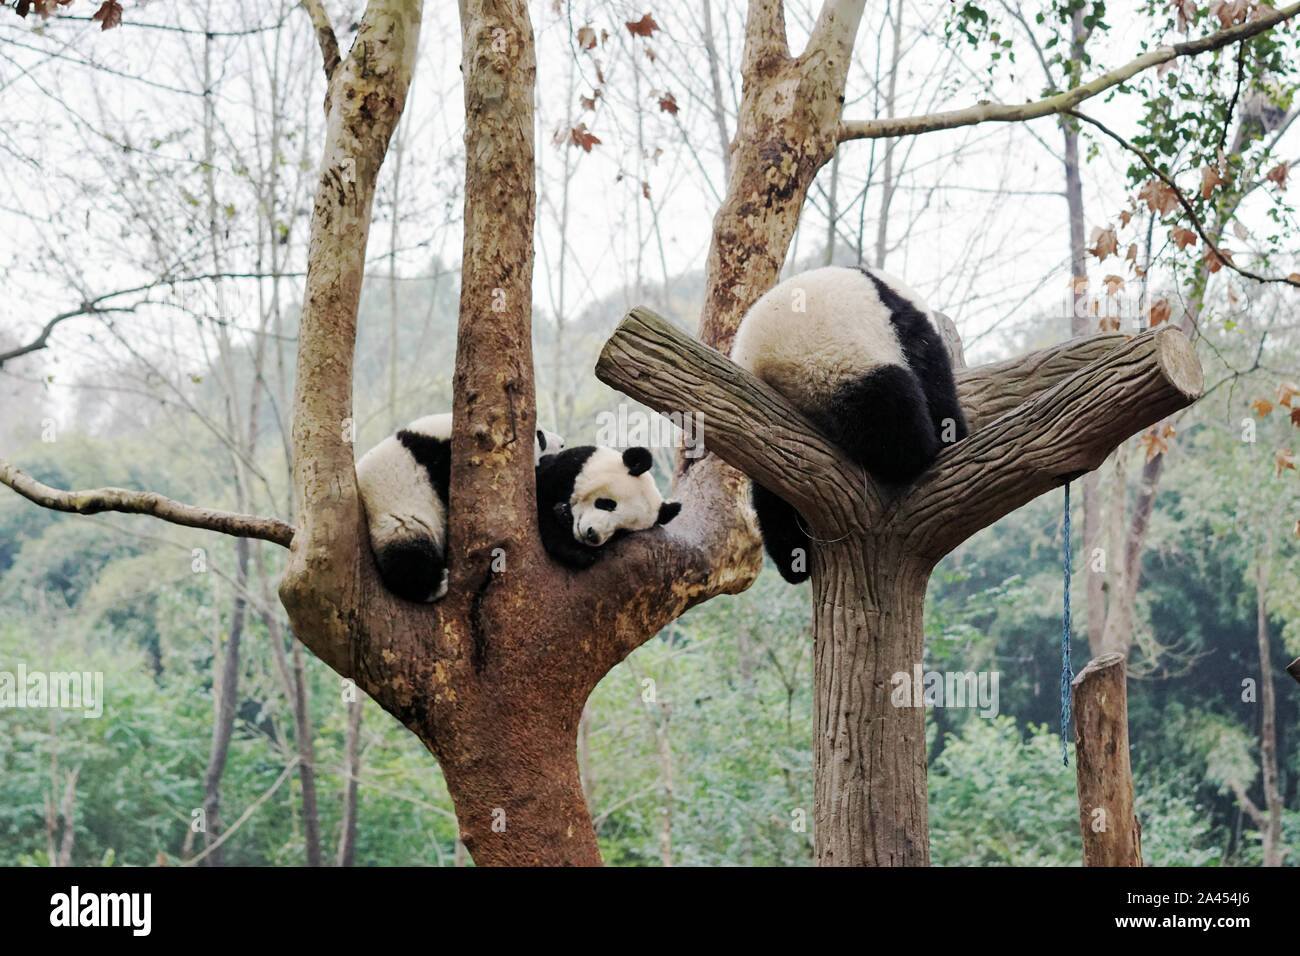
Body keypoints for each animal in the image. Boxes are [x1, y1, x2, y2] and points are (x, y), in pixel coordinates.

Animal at [356, 413, 564, 602]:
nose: (562, 443)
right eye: (540, 436)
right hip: (395, 520)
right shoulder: (445, 464)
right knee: (408, 557)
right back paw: (435, 586)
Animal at [730, 264, 968, 583]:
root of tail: (771, 371)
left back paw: (792, 559)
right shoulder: (904, 326)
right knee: (893, 407)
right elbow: (933, 377)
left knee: (770, 496)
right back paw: (919, 454)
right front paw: (953, 434)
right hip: (841, 365)